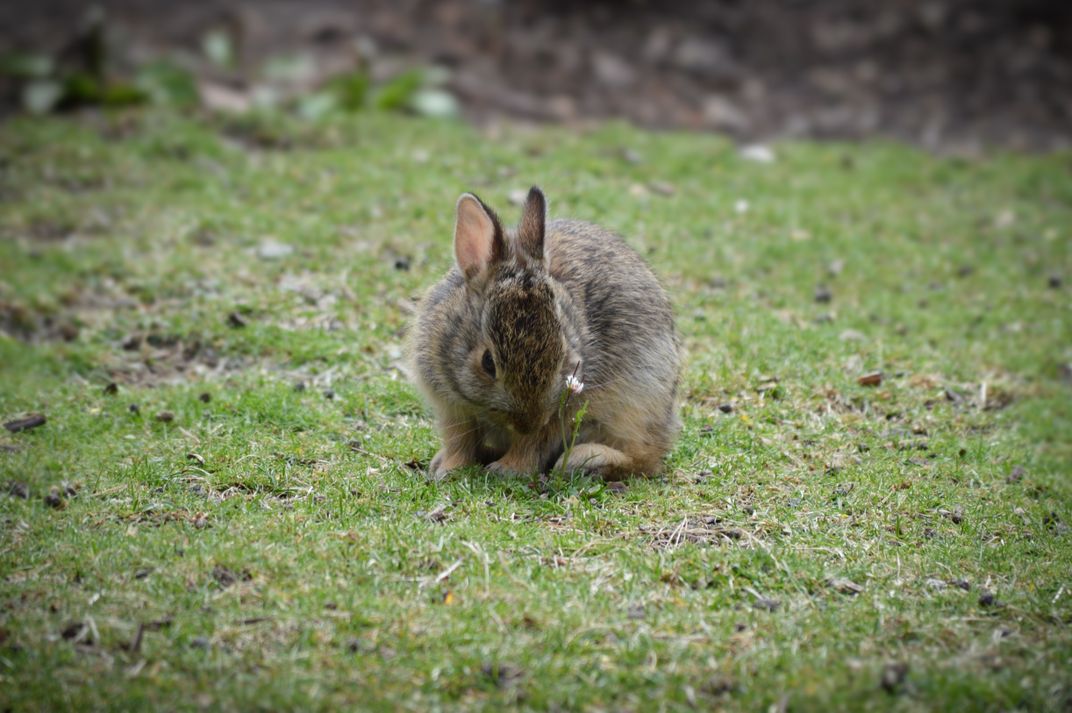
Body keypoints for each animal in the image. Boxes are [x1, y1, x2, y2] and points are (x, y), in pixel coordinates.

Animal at [407, 186, 681, 481]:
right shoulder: (452, 406)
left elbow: (533, 444)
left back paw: (584, 459)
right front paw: (449, 469)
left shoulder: (562, 408)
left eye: (563, 356)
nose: (528, 422)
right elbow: (460, 441)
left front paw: (508, 469)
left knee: (644, 459)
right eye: (488, 363)